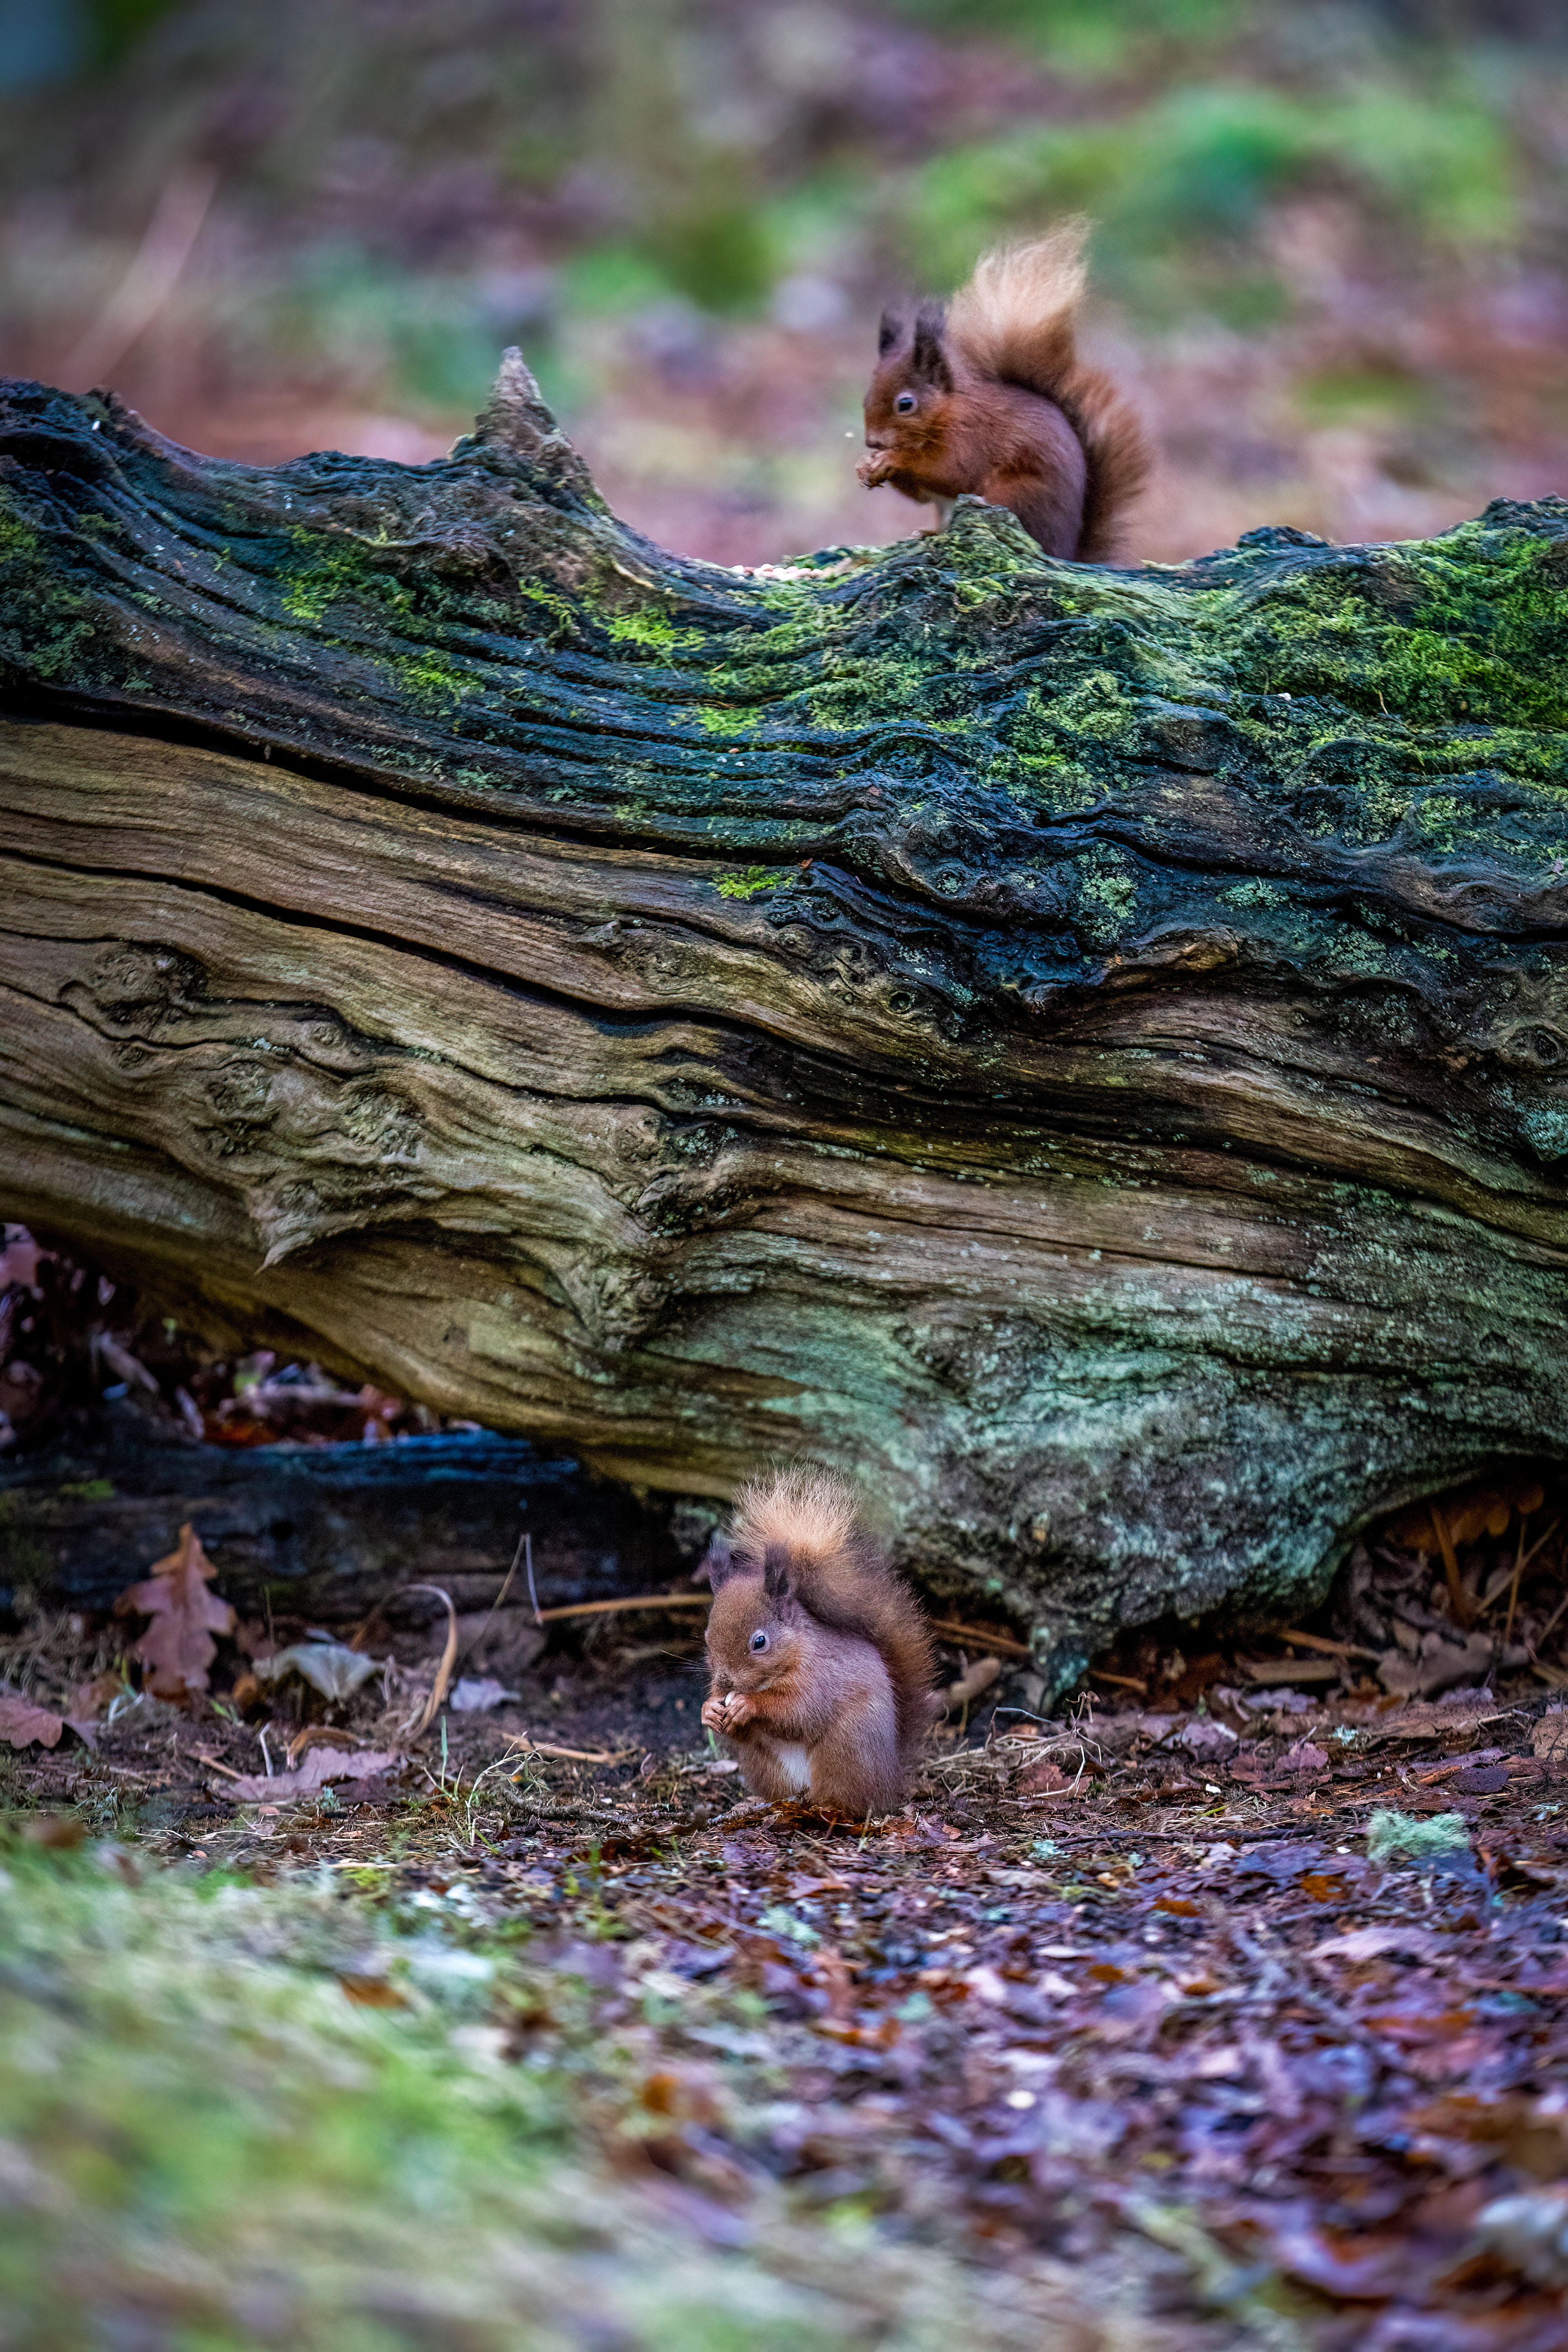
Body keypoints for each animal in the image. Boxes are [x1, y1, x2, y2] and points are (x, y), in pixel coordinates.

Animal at [700, 1465, 938, 1818]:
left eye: (760, 1642)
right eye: (707, 1636)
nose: (727, 1682)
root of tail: (892, 1777)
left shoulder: (820, 1678)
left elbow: (799, 1712)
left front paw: (749, 1705)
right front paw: (710, 1710)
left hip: (847, 1748)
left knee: (850, 1799)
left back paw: (829, 1809)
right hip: (766, 1766)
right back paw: (756, 1804)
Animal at [856, 217, 1149, 562]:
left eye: (906, 404)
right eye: (866, 398)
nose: (873, 442)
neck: (947, 412)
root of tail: (1064, 552)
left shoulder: (971, 437)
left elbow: (951, 471)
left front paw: (891, 459)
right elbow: (922, 494)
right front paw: (867, 466)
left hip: (1017, 495)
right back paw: (930, 533)